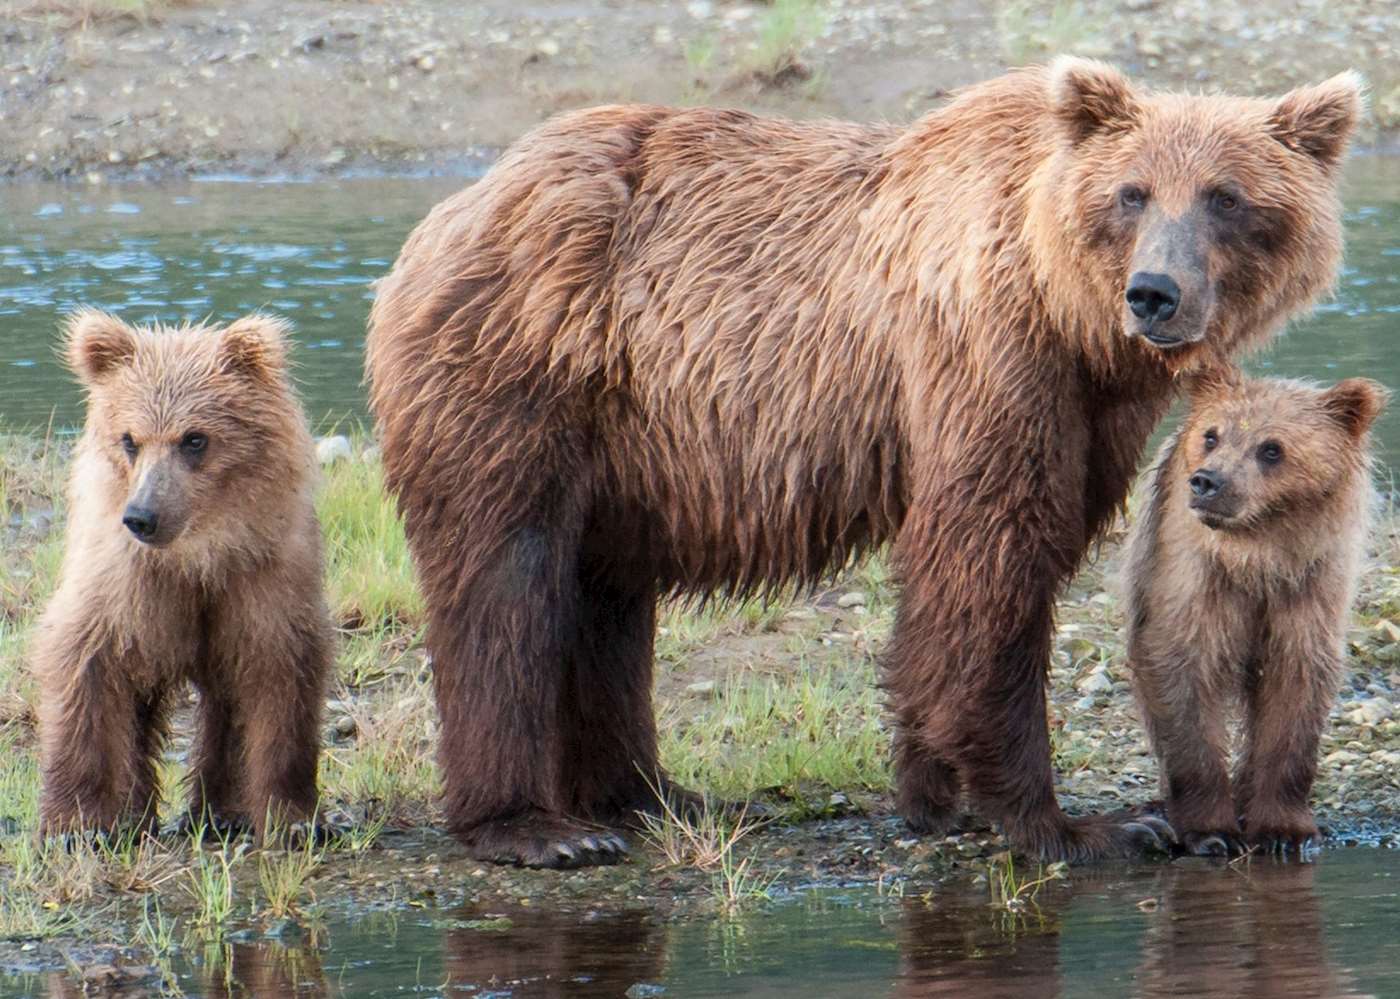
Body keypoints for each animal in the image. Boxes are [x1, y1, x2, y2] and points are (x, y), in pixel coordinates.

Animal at [34, 309, 333, 843]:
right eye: (129, 439)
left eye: (194, 438)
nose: (142, 517)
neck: (197, 555)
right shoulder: (124, 583)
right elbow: (87, 664)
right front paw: (78, 823)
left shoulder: (261, 581)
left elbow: (277, 678)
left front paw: (295, 818)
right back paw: (138, 815)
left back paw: (223, 814)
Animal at [1123, 369, 1385, 857]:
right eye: (1211, 435)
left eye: (1272, 448)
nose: (1207, 482)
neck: (1258, 556)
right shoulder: (1194, 581)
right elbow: (1184, 678)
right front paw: (1210, 831)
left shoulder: (1308, 592)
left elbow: (1295, 692)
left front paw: (1283, 830)